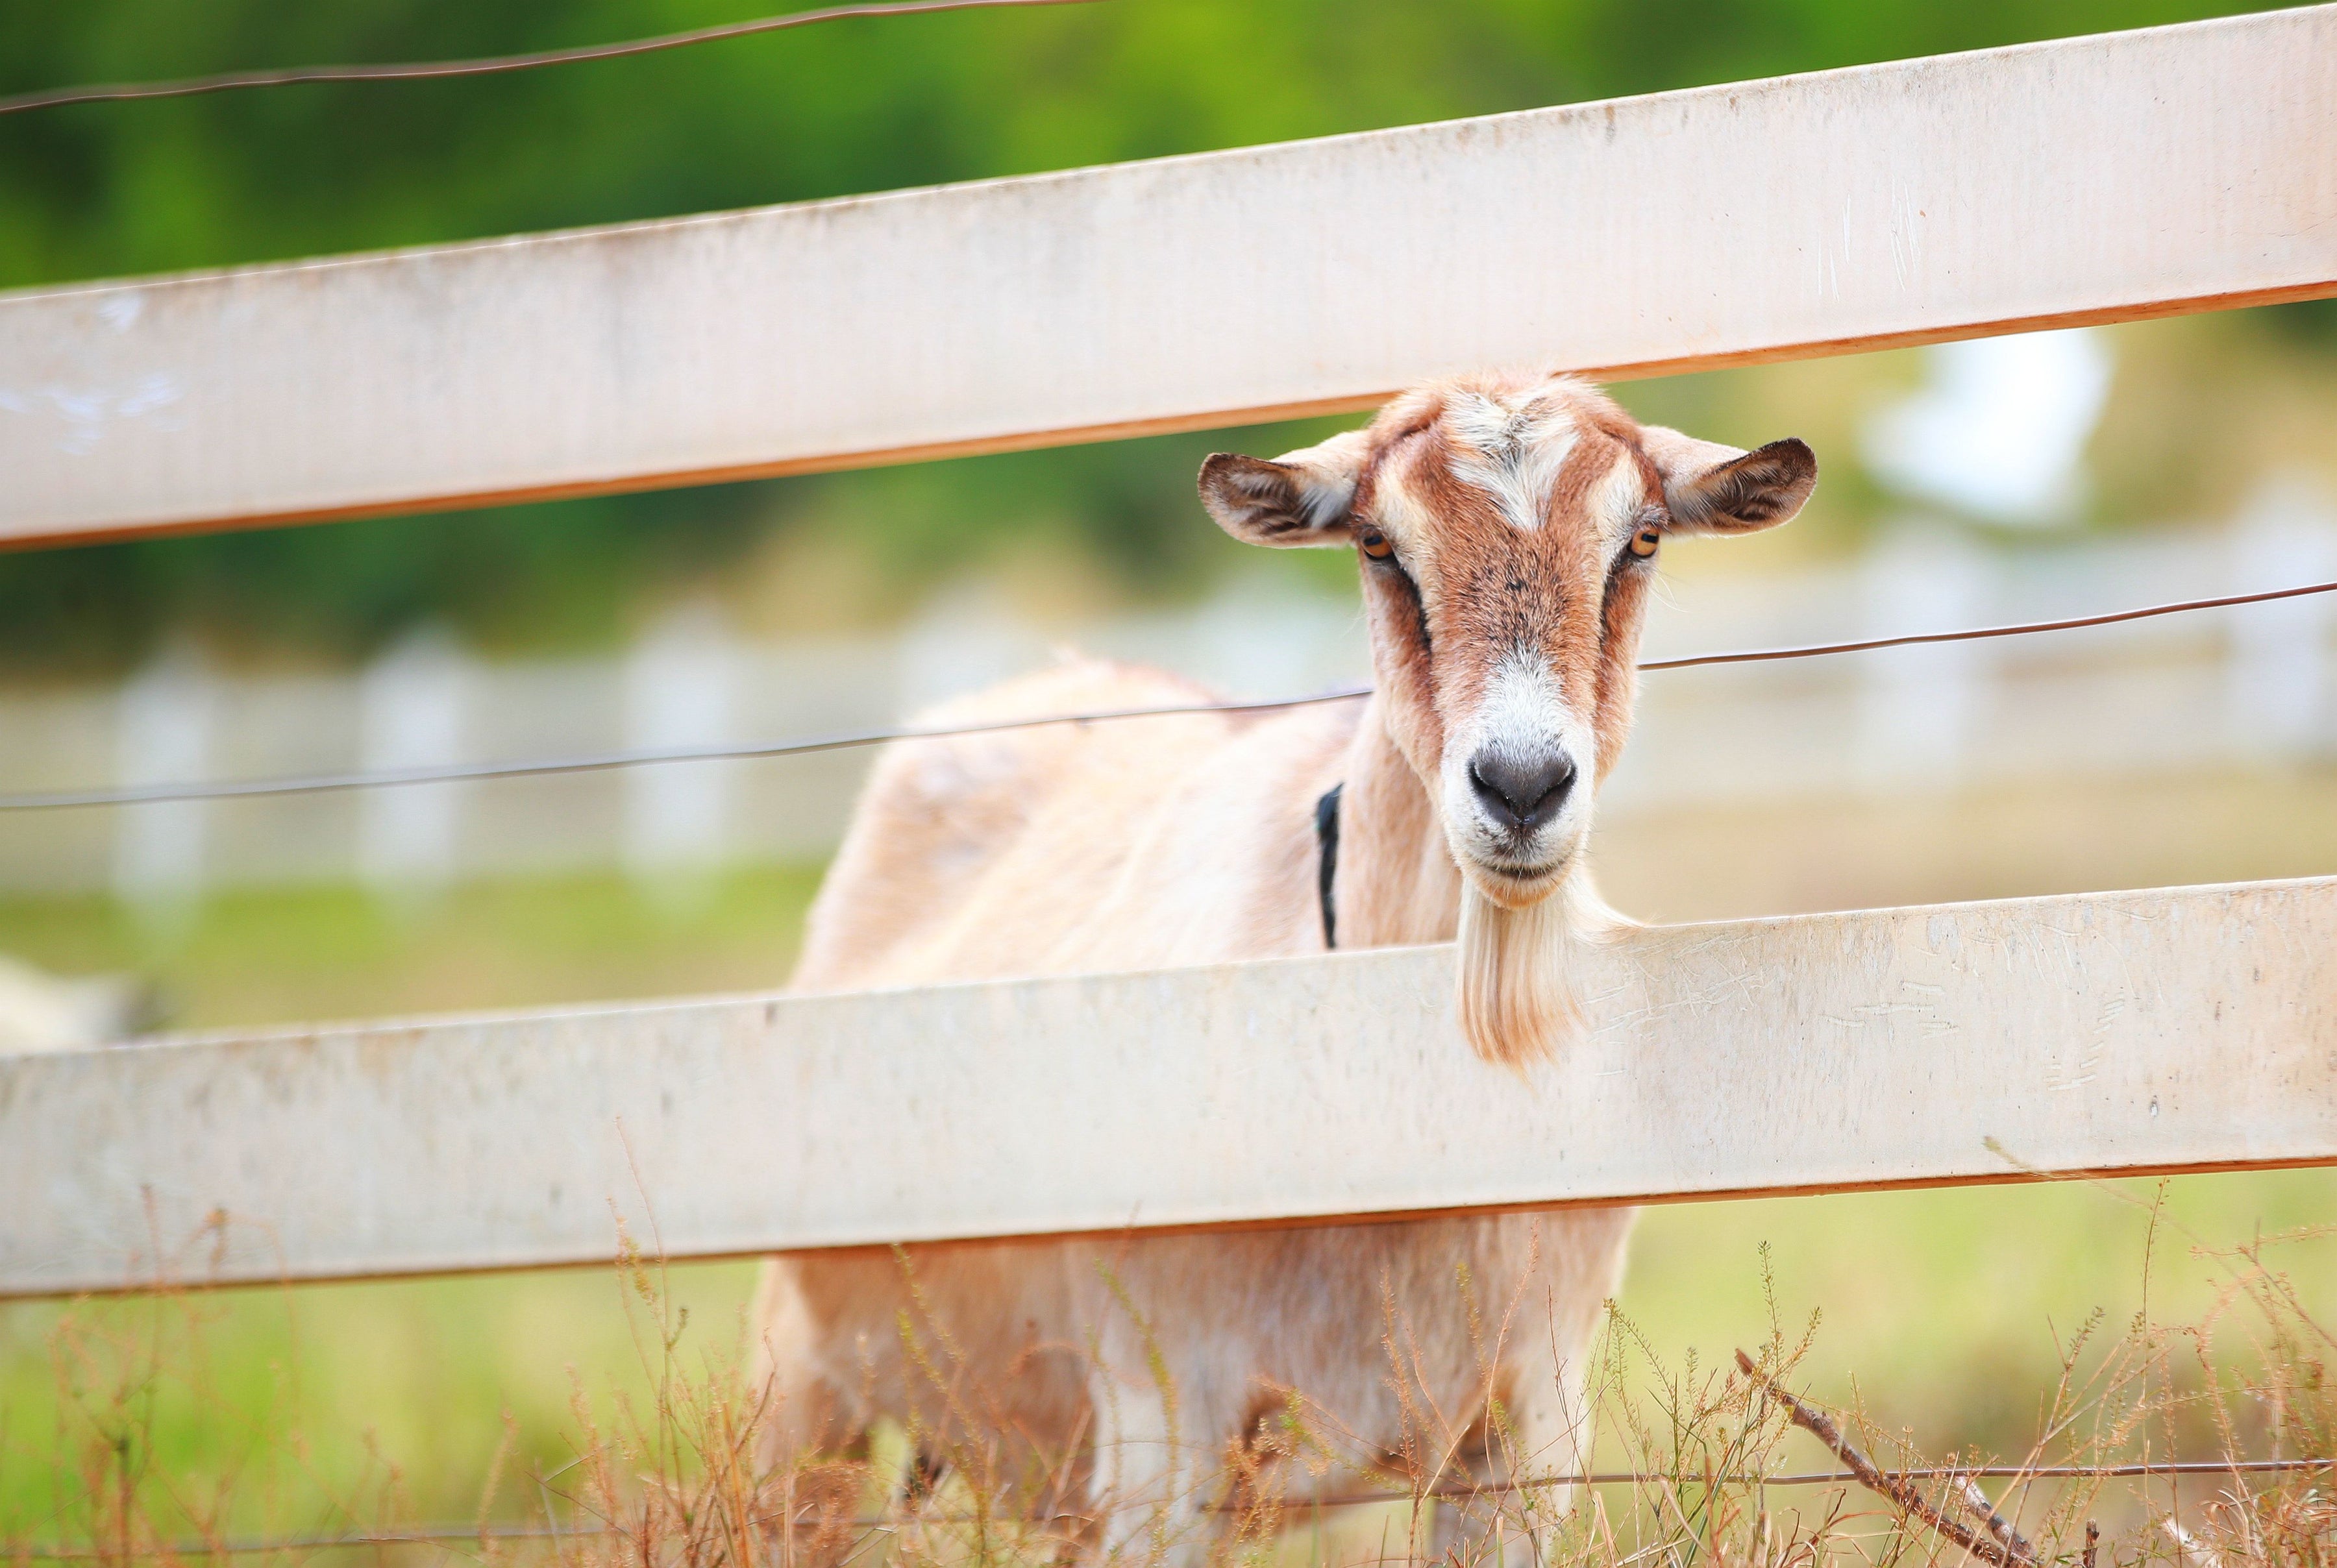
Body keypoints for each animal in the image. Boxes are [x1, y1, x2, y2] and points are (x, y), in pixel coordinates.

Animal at [751, 371, 1815, 1564]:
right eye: (1378, 543)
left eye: (1641, 539)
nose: (1522, 787)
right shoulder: (1161, 1432)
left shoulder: (1527, 1439)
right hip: (806, 1389)